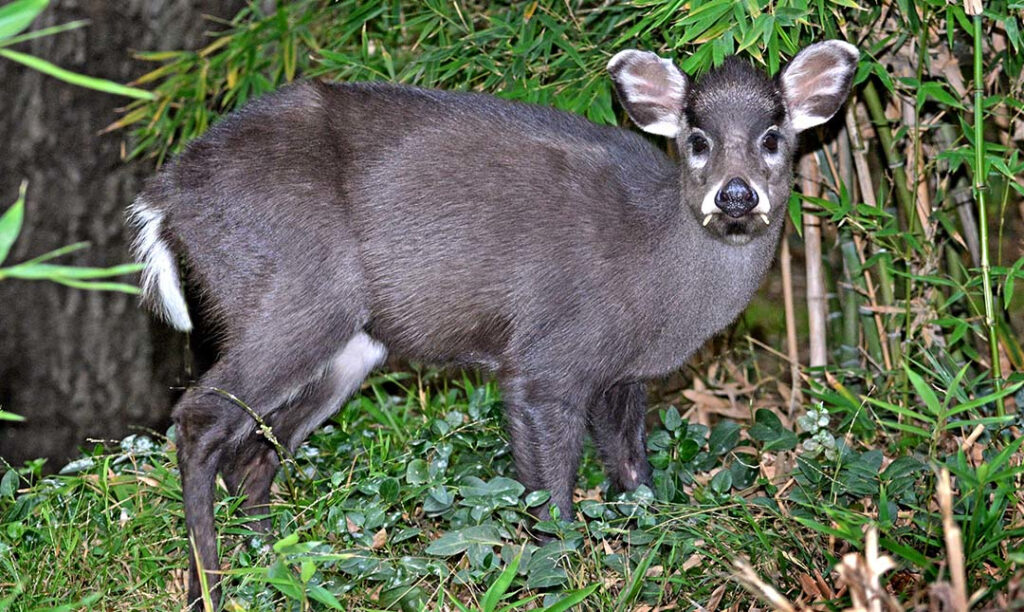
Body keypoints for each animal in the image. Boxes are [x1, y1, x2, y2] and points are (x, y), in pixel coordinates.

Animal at [127, 40, 858, 605]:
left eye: (772, 138)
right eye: (697, 140)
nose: (736, 196)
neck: (658, 284)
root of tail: (166, 197)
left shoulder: (622, 374)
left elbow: (633, 472)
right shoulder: (546, 358)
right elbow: (551, 499)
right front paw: (567, 574)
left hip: (348, 342)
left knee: (257, 447)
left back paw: (276, 564)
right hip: (293, 290)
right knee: (200, 417)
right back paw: (209, 587)